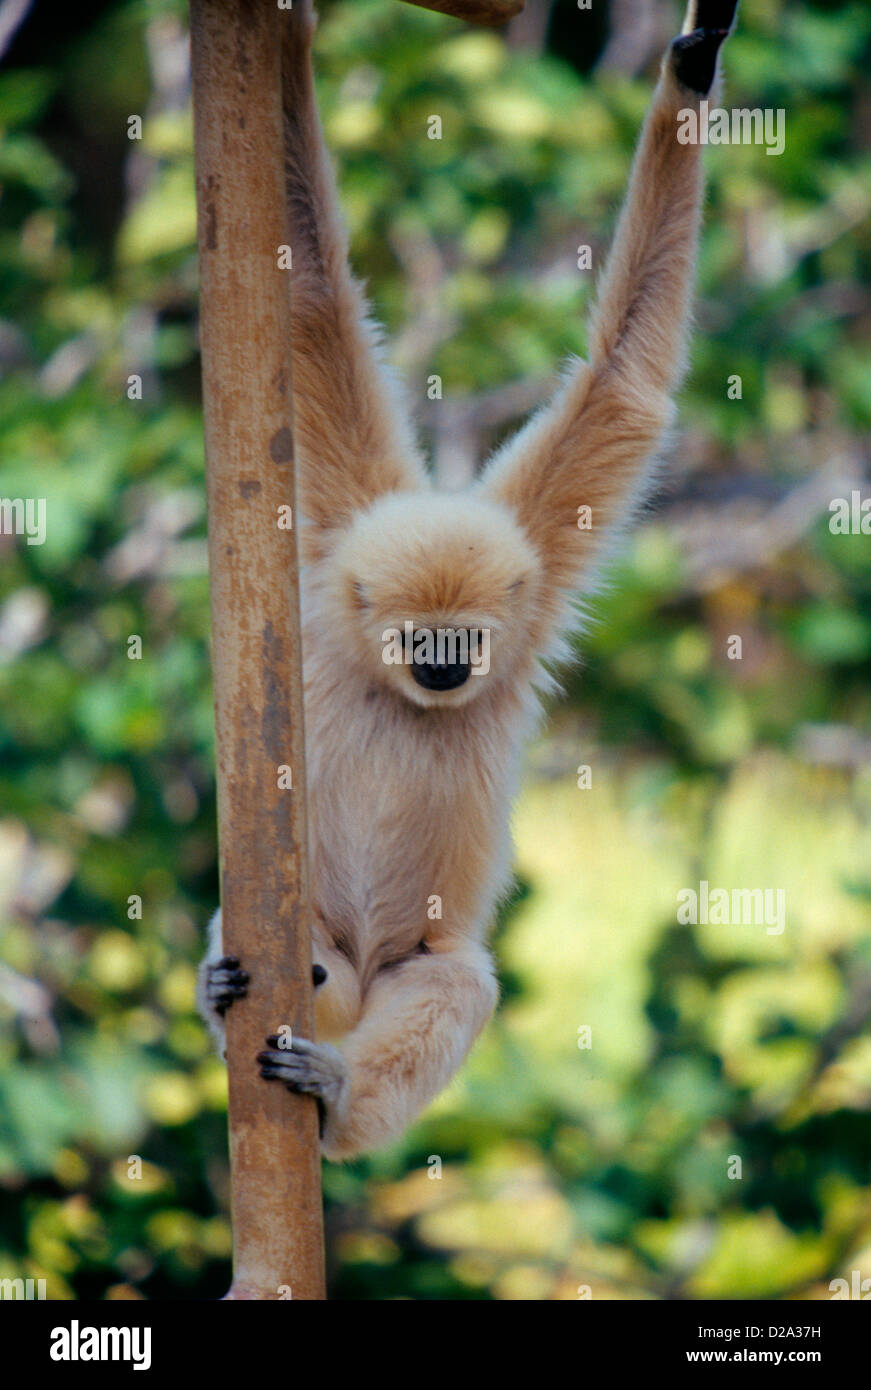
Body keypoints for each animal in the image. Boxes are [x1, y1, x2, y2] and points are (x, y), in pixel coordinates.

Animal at [197, 0, 740, 1160]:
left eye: (466, 643)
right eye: (419, 641)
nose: (445, 672)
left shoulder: (534, 577)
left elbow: (624, 389)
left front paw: (692, 69)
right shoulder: (332, 549)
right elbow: (310, 303)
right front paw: (290, 41)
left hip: (392, 978)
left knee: (455, 981)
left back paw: (337, 1097)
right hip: (316, 955)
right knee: (286, 956)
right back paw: (228, 987)